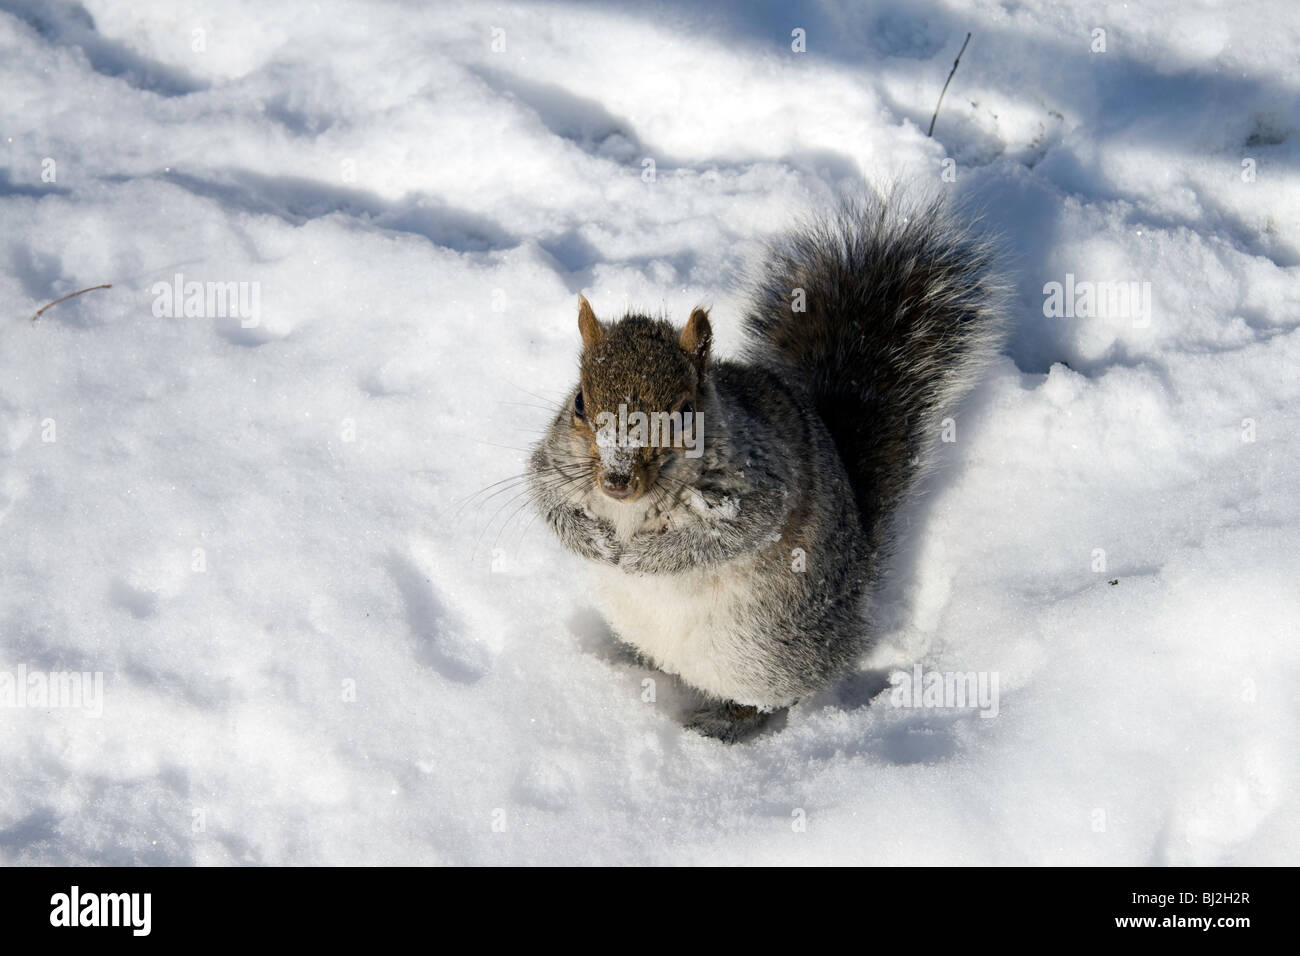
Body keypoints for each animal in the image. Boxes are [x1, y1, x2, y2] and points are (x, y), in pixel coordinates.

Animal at [528, 190, 1004, 742]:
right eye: (580, 402)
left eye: (686, 411)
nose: (617, 480)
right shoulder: (552, 463)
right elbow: (546, 499)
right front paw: (593, 543)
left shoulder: (760, 487)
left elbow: (726, 535)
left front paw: (645, 558)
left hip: (763, 655)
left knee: (768, 699)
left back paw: (721, 722)